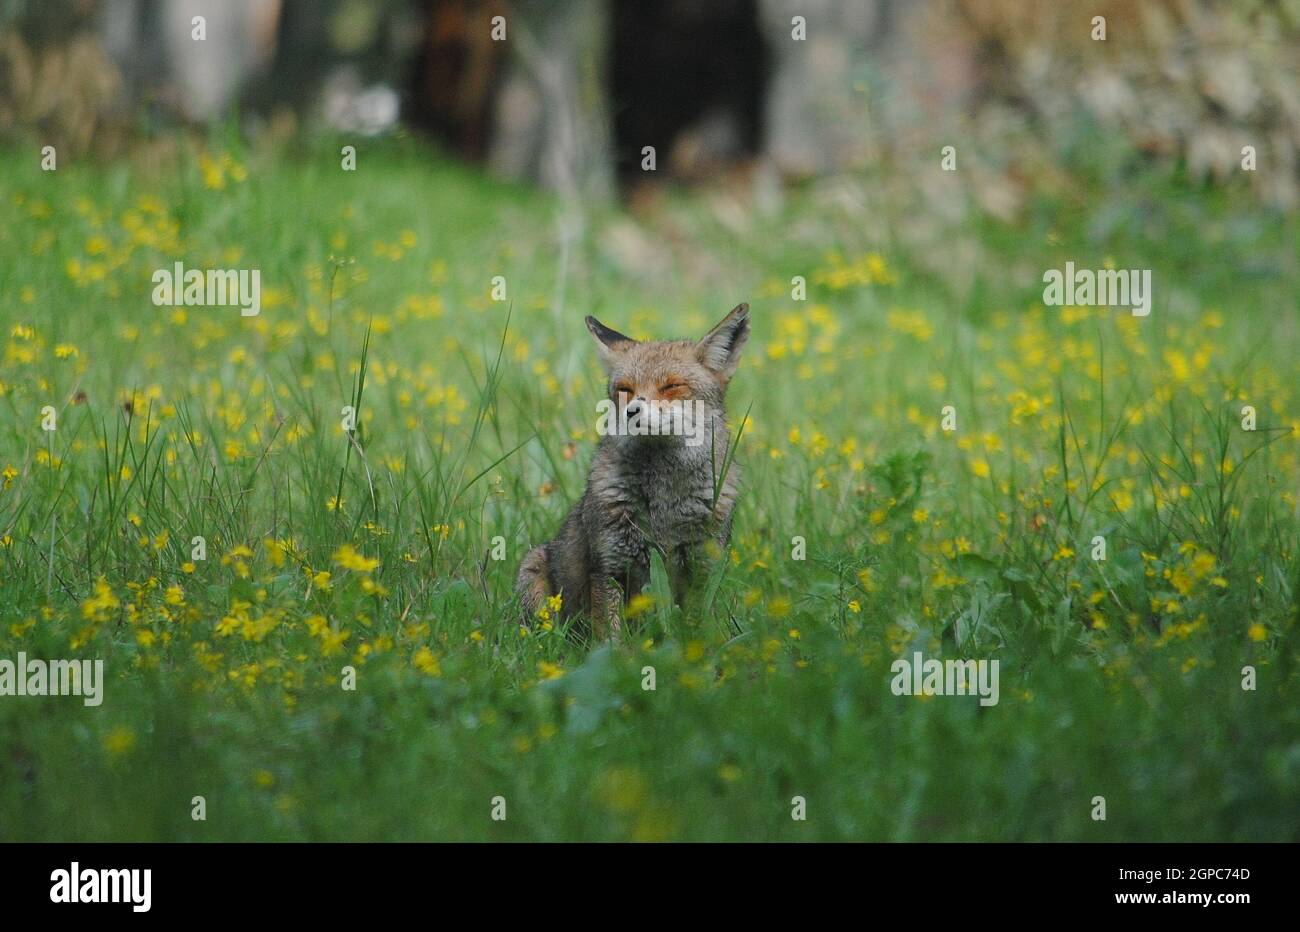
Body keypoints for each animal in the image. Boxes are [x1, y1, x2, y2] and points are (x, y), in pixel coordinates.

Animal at [516, 303, 751, 639]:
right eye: (625, 390)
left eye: (671, 386)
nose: (633, 412)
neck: (665, 504)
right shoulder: (609, 565)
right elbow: (611, 638)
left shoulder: (703, 566)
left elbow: (697, 629)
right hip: (535, 579)